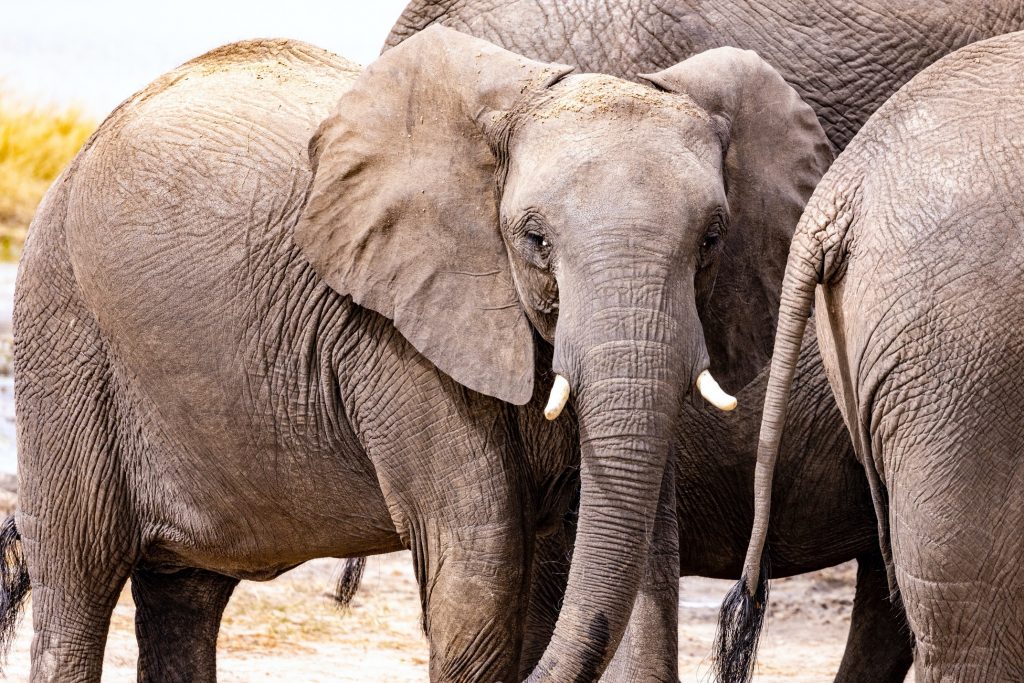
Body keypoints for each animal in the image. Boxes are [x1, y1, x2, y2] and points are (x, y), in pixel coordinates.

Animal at [7, 24, 830, 683]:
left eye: (713, 239)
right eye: (535, 238)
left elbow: (649, 570)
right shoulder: (394, 332)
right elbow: (479, 574)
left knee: (186, 594)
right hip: (63, 332)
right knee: (77, 584)